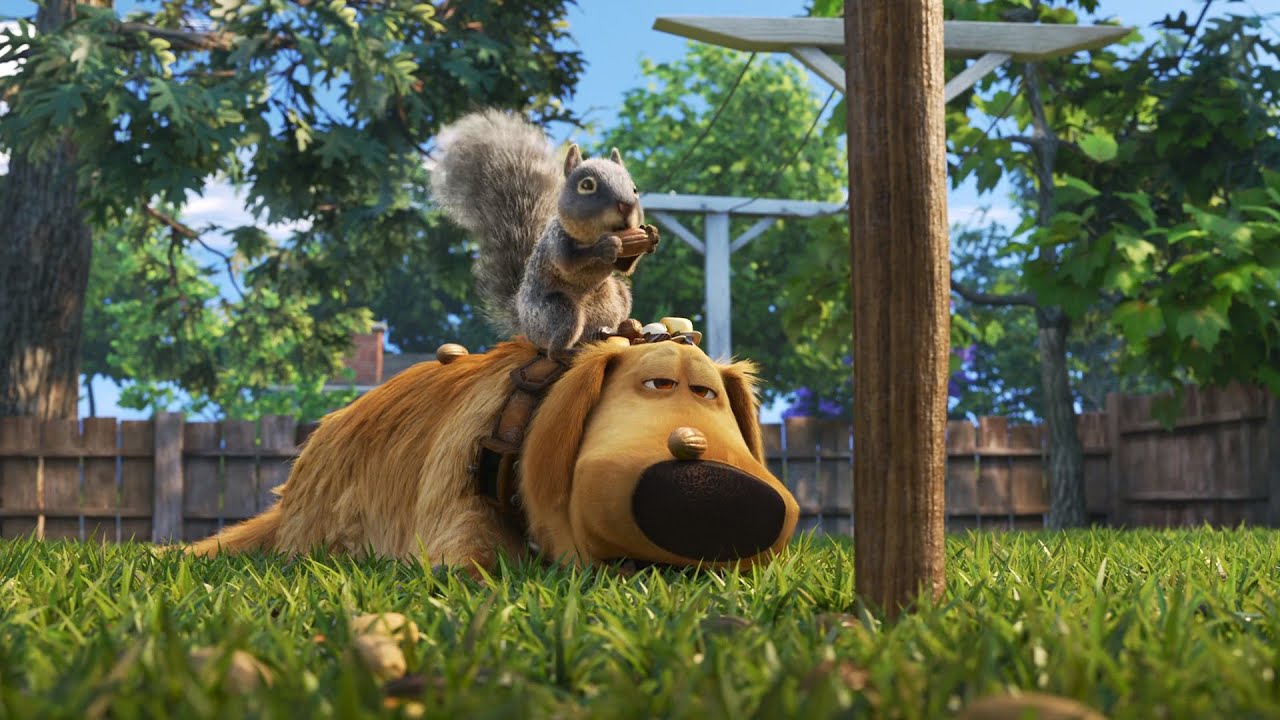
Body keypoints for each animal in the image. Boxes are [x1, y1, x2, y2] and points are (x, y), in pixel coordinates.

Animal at [428, 109, 659, 359]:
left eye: (634, 189)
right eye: (587, 186)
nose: (627, 206)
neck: (589, 234)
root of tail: (524, 323)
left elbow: (624, 267)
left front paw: (651, 235)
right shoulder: (555, 240)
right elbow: (569, 262)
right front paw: (607, 245)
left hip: (618, 295)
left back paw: (607, 334)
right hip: (556, 311)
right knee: (553, 349)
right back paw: (567, 353)